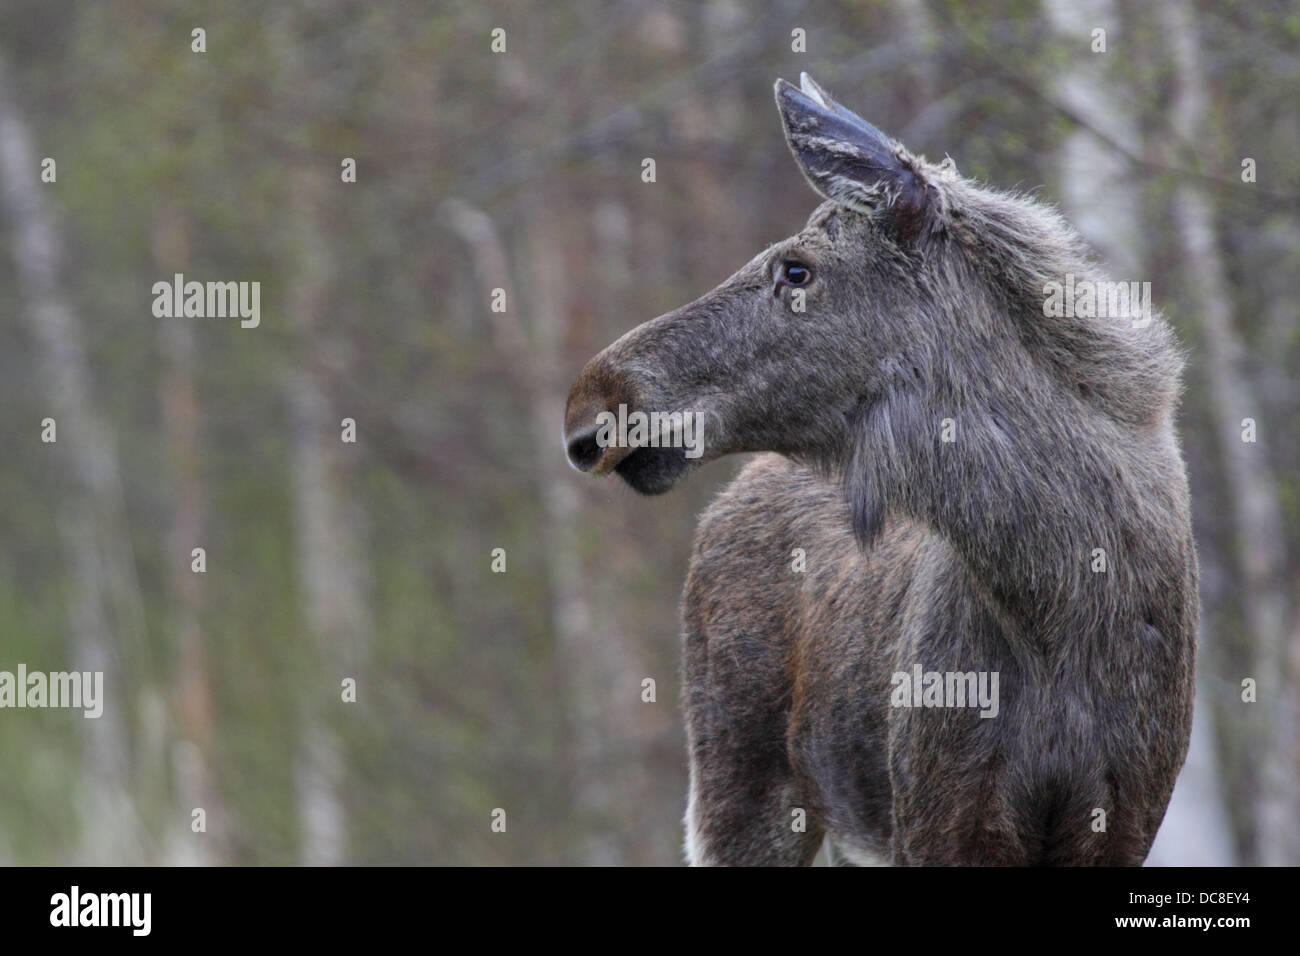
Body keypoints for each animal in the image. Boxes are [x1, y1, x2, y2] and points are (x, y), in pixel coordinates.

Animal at [563, 74, 1198, 866]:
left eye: (796, 270)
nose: (593, 403)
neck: (1059, 602)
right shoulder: (939, 818)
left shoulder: (1122, 820)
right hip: (738, 790)